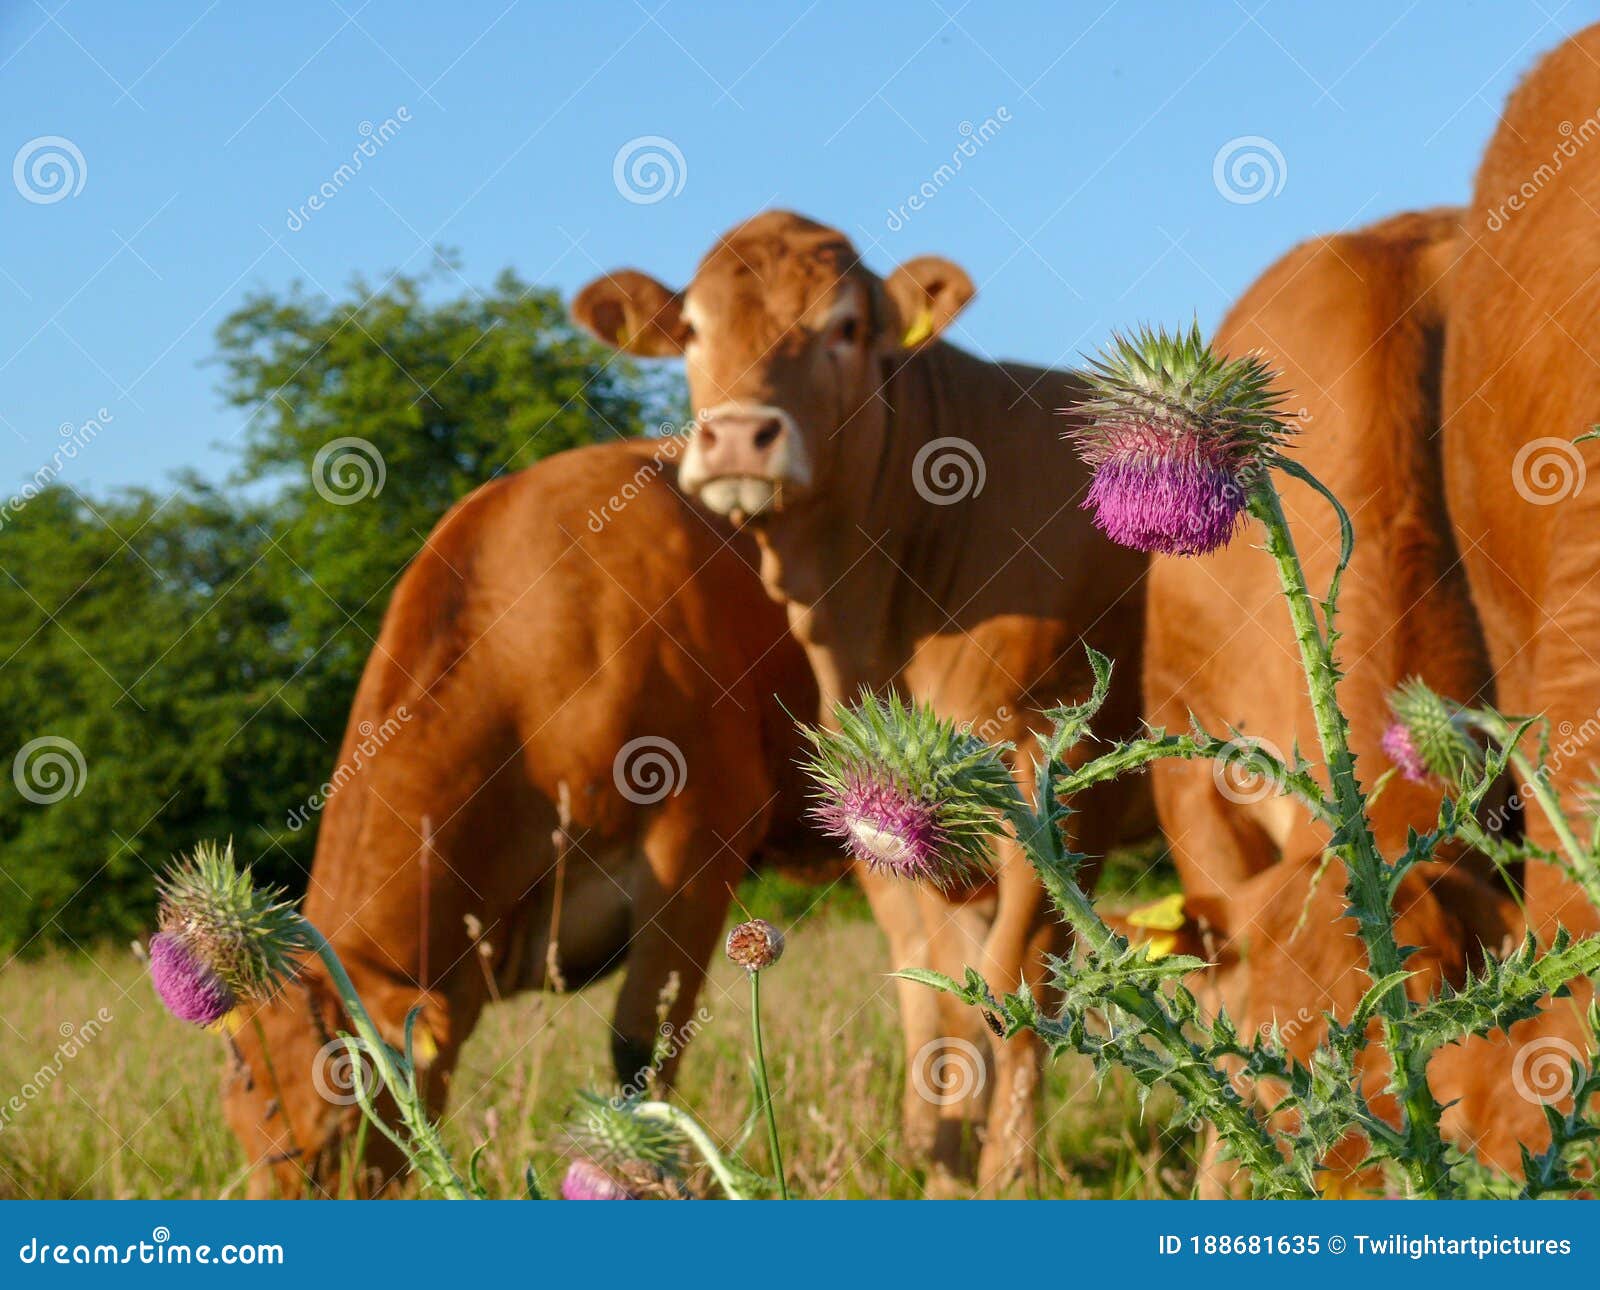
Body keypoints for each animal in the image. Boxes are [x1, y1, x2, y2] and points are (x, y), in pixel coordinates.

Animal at [573, 211, 1154, 1194]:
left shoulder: (1053, 757)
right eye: (690, 329)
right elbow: (943, 996)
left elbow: (1015, 986)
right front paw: (945, 1168)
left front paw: (1006, 1176)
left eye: (843, 327)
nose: (738, 436)